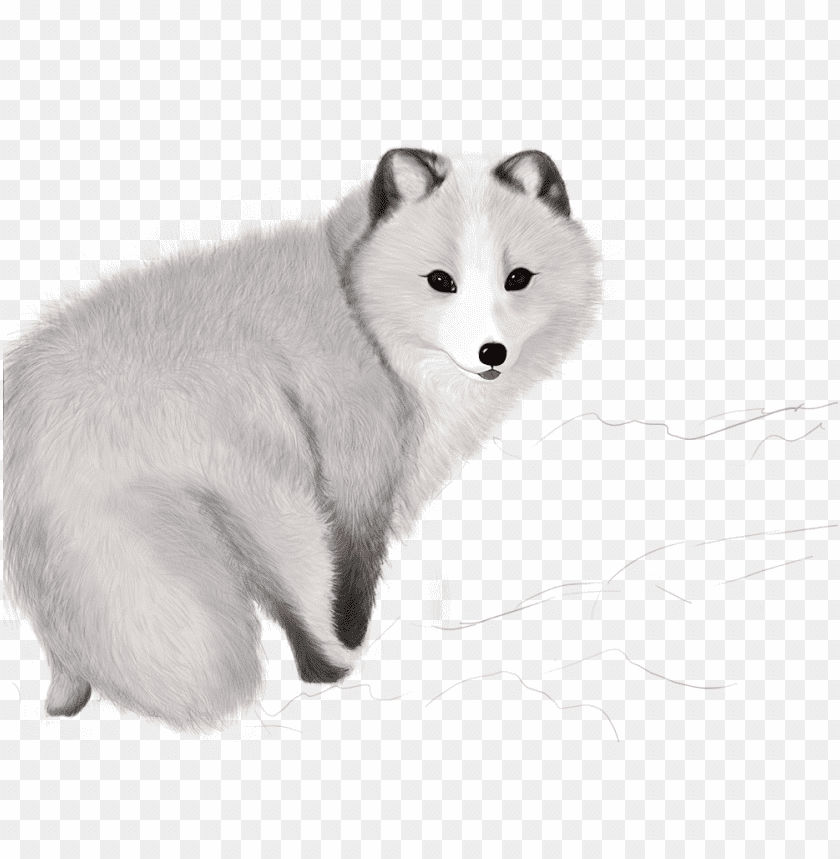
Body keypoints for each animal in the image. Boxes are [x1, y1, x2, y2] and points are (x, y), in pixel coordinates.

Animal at [3, 149, 601, 732]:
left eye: (518, 278)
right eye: (440, 281)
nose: (491, 353)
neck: (359, 312)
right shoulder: (359, 478)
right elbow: (355, 581)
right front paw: (350, 643)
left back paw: (64, 699)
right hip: (284, 506)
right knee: (303, 600)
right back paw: (335, 669)